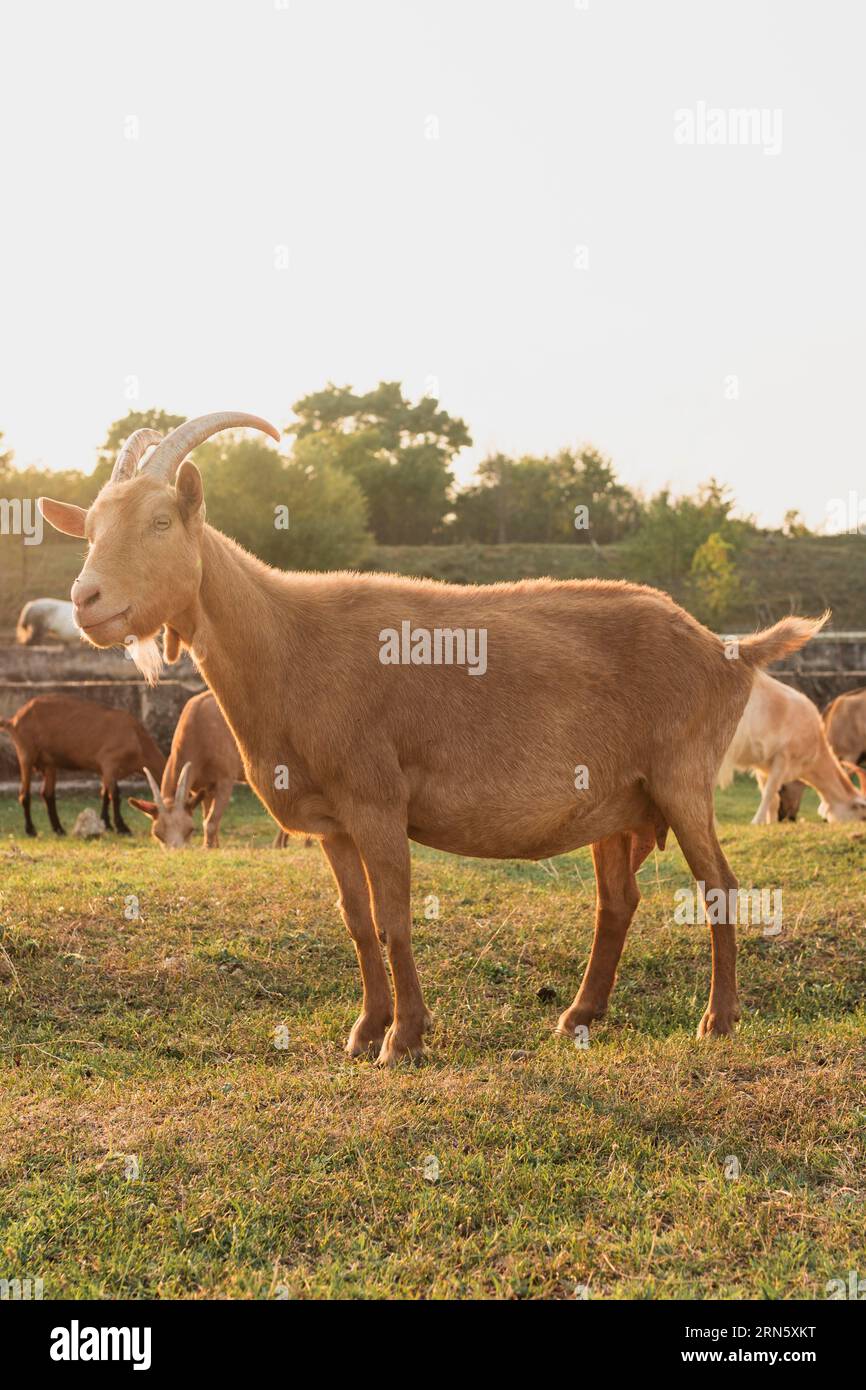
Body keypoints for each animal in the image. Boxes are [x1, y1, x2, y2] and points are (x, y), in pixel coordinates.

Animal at [0, 694, 166, 836]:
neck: (137, 739)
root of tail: (14, 720)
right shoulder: (109, 763)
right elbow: (115, 794)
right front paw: (122, 827)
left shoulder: (105, 770)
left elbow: (105, 794)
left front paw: (107, 824)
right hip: (26, 754)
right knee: (24, 794)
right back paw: (30, 830)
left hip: (49, 763)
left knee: (47, 794)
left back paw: (59, 829)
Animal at [38, 413, 825, 1060]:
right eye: (91, 529)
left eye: (161, 521)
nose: (85, 599)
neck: (288, 643)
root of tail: (729, 650)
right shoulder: (333, 822)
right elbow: (357, 921)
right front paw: (365, 1031)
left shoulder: (377, 800)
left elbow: (394, 918)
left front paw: (405, 1039)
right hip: (613, 800)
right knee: (617, 901)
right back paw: (579, 1016)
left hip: (682, 777)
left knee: (719, 885)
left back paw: (717, 1021)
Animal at [718, 672, 866, 824]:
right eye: (863, 817)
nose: (789, 818)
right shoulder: (783, 756)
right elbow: (770, 792)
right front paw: (757, 822)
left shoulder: (763, 764)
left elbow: (770, 797)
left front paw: (769, 823)